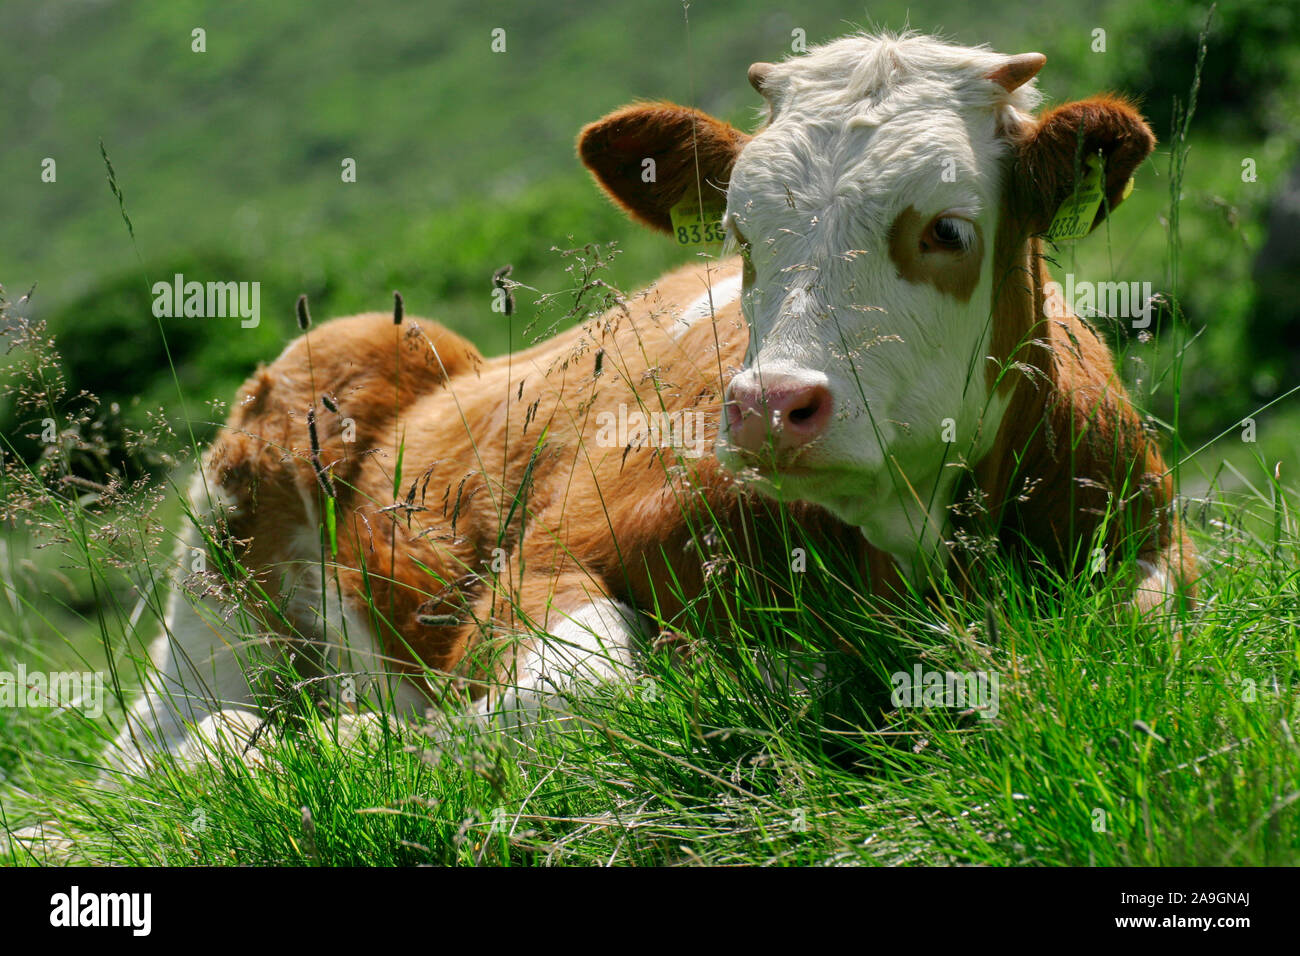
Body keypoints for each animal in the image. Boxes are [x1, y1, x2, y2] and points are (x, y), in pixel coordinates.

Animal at [106, 31, 1190, 780]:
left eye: (948, 229)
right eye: (741, 231)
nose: (769, 405)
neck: (906, 540)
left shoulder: (1153, 538)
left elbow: (1148, 618)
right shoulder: (547, 556)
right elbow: (582, 689)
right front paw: (368, 739)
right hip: (227, 571)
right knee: (152, 742)